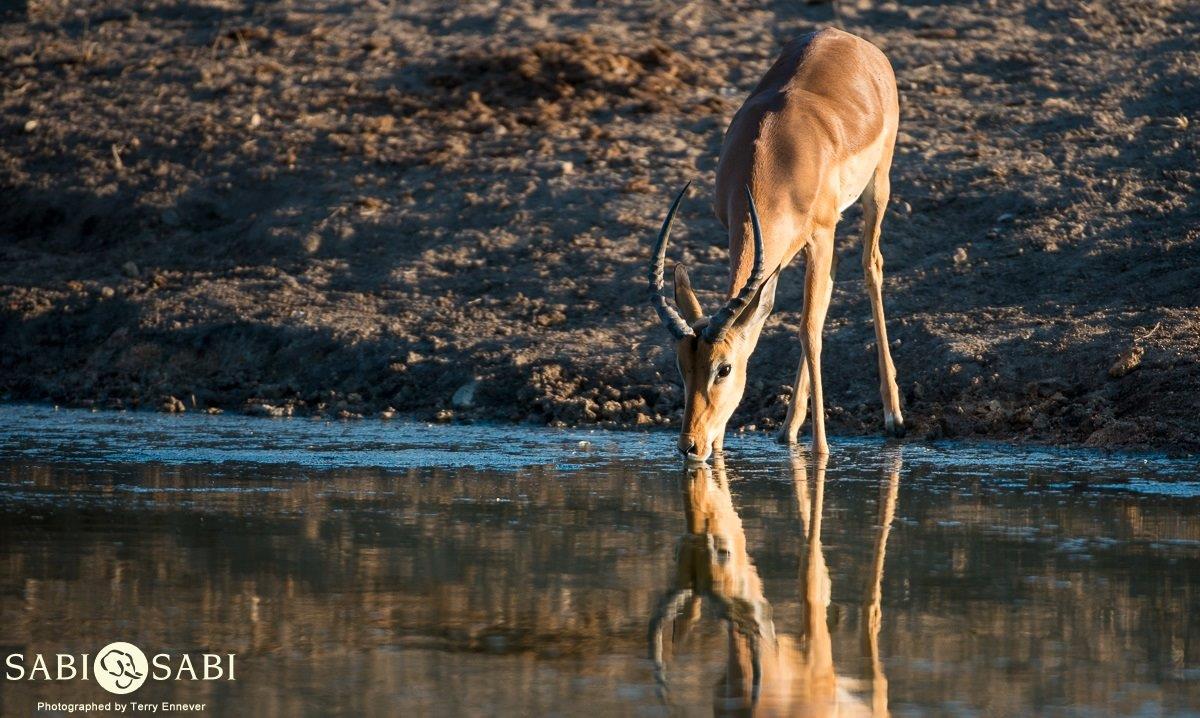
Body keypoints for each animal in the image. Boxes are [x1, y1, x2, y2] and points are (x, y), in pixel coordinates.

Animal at [648, 28, 904, 460]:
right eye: (682, 366)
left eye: (724, 368)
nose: (690, 446)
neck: (774, 155)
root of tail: (846, 37)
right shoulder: (773, 248)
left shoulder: (820, 233)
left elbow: (809, 331)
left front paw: (821, 449)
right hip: (797, 247)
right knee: (829, 283)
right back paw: (787, 430)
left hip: (876, 188)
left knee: (871, 267)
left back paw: (894, 418)